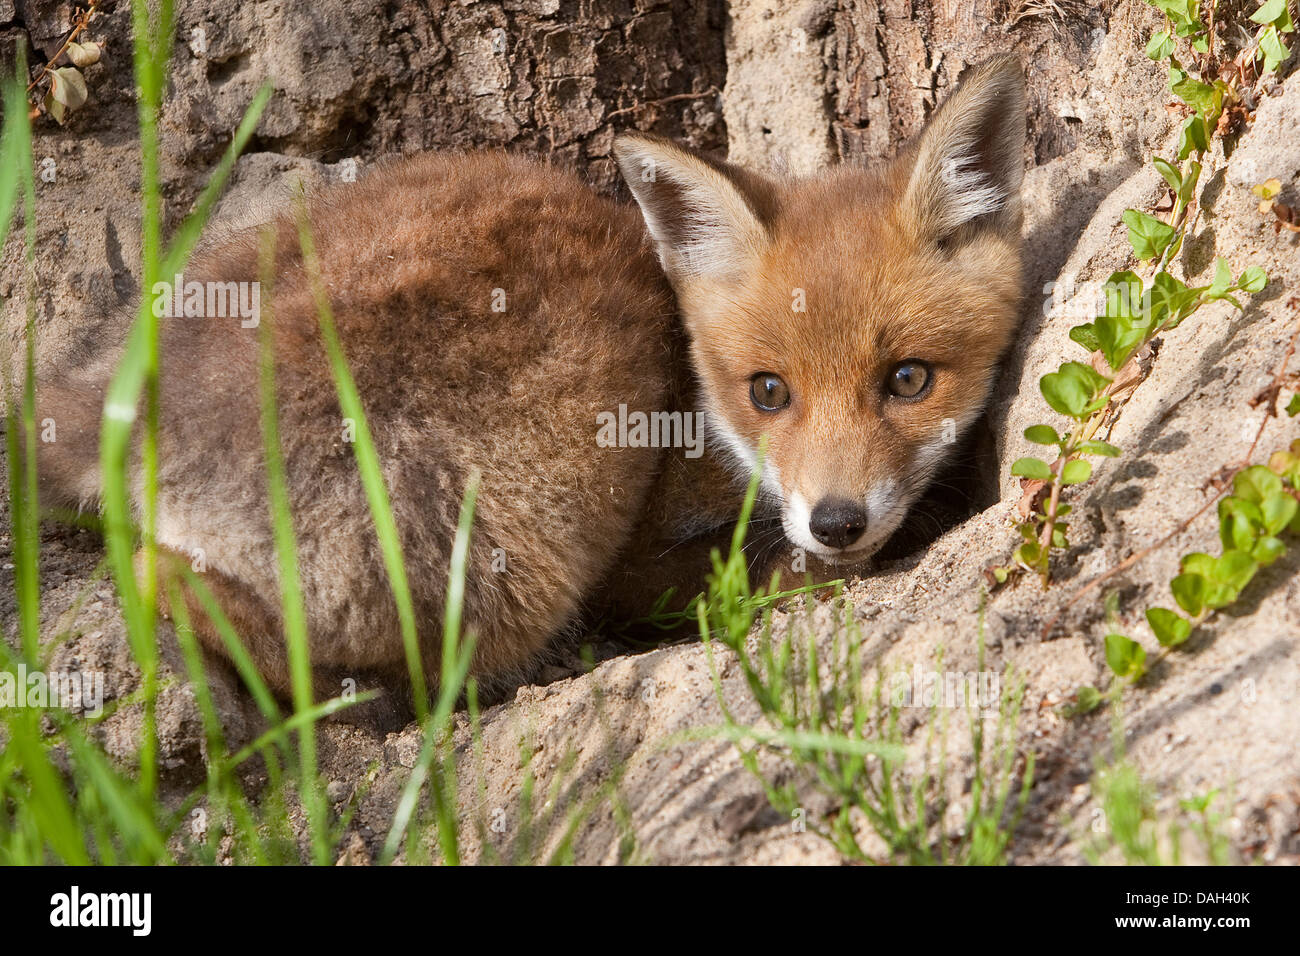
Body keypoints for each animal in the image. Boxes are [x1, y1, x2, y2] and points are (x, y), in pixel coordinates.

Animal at [33, 55, 1026, 714]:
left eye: (908, 379)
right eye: (769, 392)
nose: (837, 521)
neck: (694, 409)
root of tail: (129, 402)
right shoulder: (634, 562)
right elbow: (734, 574)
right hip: (531, 531)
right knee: (178, 585)